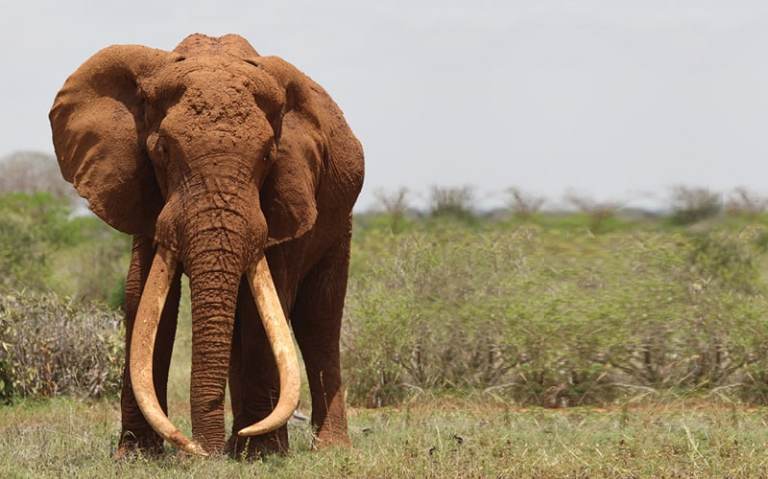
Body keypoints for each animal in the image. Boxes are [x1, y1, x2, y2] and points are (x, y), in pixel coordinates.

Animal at [49, 33, 364, 457]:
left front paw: (261, 454)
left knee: (318, 319)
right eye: (162, 151)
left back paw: (321, 449)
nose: (202, 451)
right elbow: (142, 298)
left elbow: (267, 306)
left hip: (339, 222)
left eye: (269, 155)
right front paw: (136, 455)